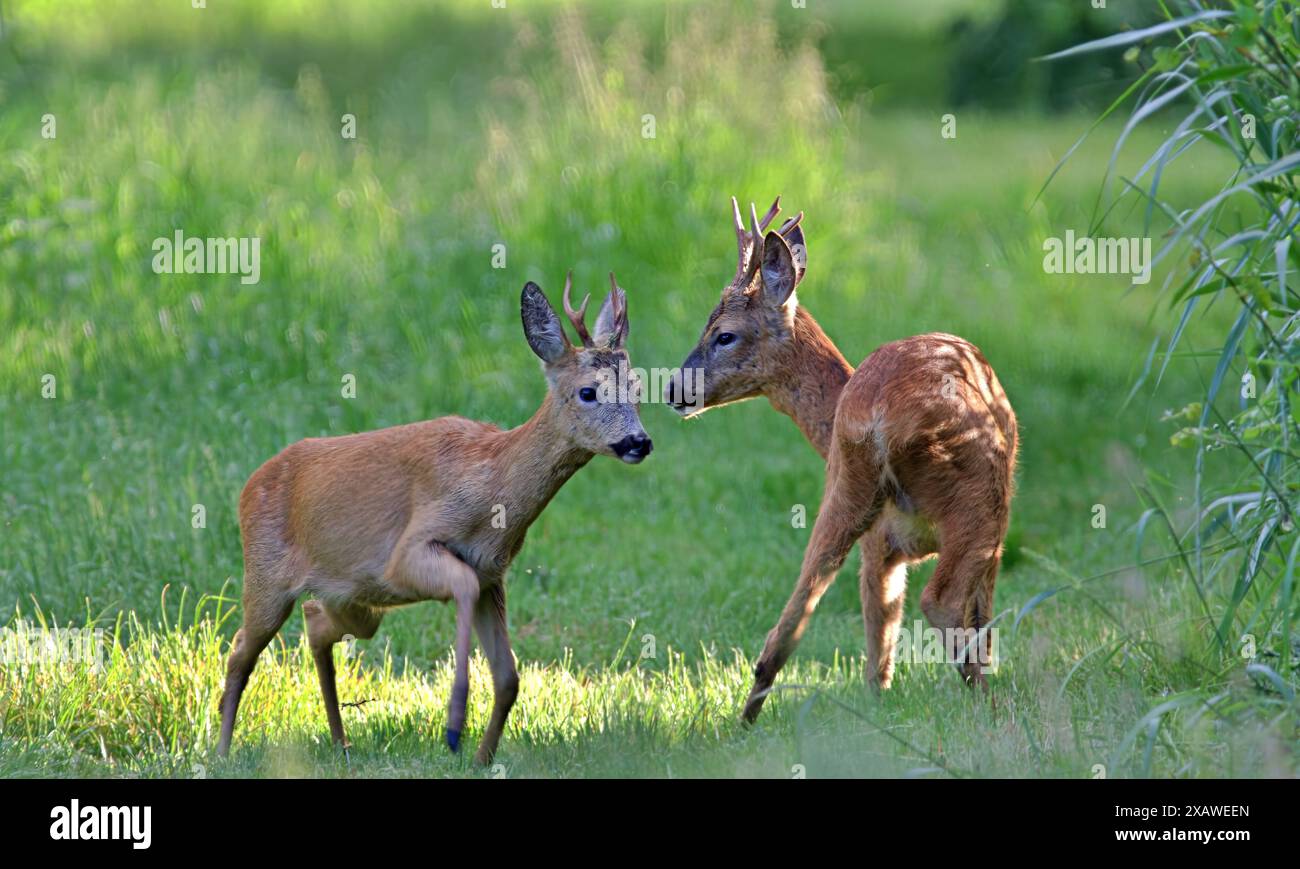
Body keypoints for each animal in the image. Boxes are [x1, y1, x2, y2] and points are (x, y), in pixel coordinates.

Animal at [217, 274, 652, 763]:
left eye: (637, 388)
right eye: (588, 391)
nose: (639, 441)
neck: (492, 490)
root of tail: (249, 486)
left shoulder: (491, 574)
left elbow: (508, 677)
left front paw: (482, 759)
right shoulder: (411, 550)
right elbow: (461, 589)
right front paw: (454, 727)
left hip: (353, 597)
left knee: (316, 622)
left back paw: (340, 741)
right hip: (267, 574)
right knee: (240, 650)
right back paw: (221, 750)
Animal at [665, 197, 1017, 723]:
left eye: (723, 335)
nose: (672, 389)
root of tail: (879, 411)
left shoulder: (877, 542)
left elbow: (878, 639)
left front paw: (876, 706)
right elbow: (981, 617)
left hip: (844, 488)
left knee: (792, 622)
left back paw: (747, 720)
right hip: (981, 496)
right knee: (946, 601)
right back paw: (992, 707)